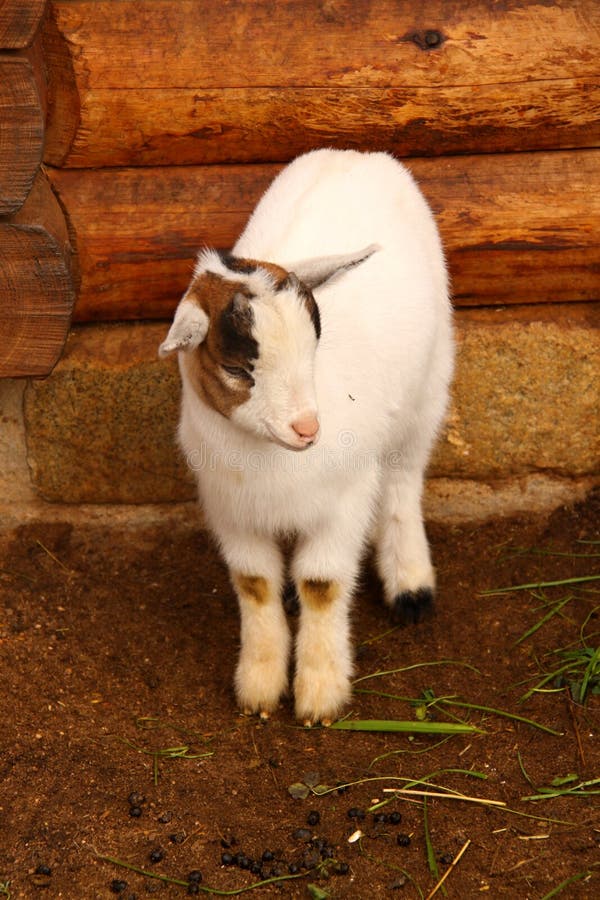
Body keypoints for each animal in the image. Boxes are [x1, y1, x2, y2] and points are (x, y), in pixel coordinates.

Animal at [159, 149, 453, 726]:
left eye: (314, 346)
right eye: (237, 368)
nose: (307, 429)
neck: (267, 459)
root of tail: (356, 155)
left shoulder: (343, 501)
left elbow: (323, 584)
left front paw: (320, 693)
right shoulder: (231, 512)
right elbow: (255, 585)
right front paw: (258, 686)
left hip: (428, 389)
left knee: (404, 480)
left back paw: (410, 584)